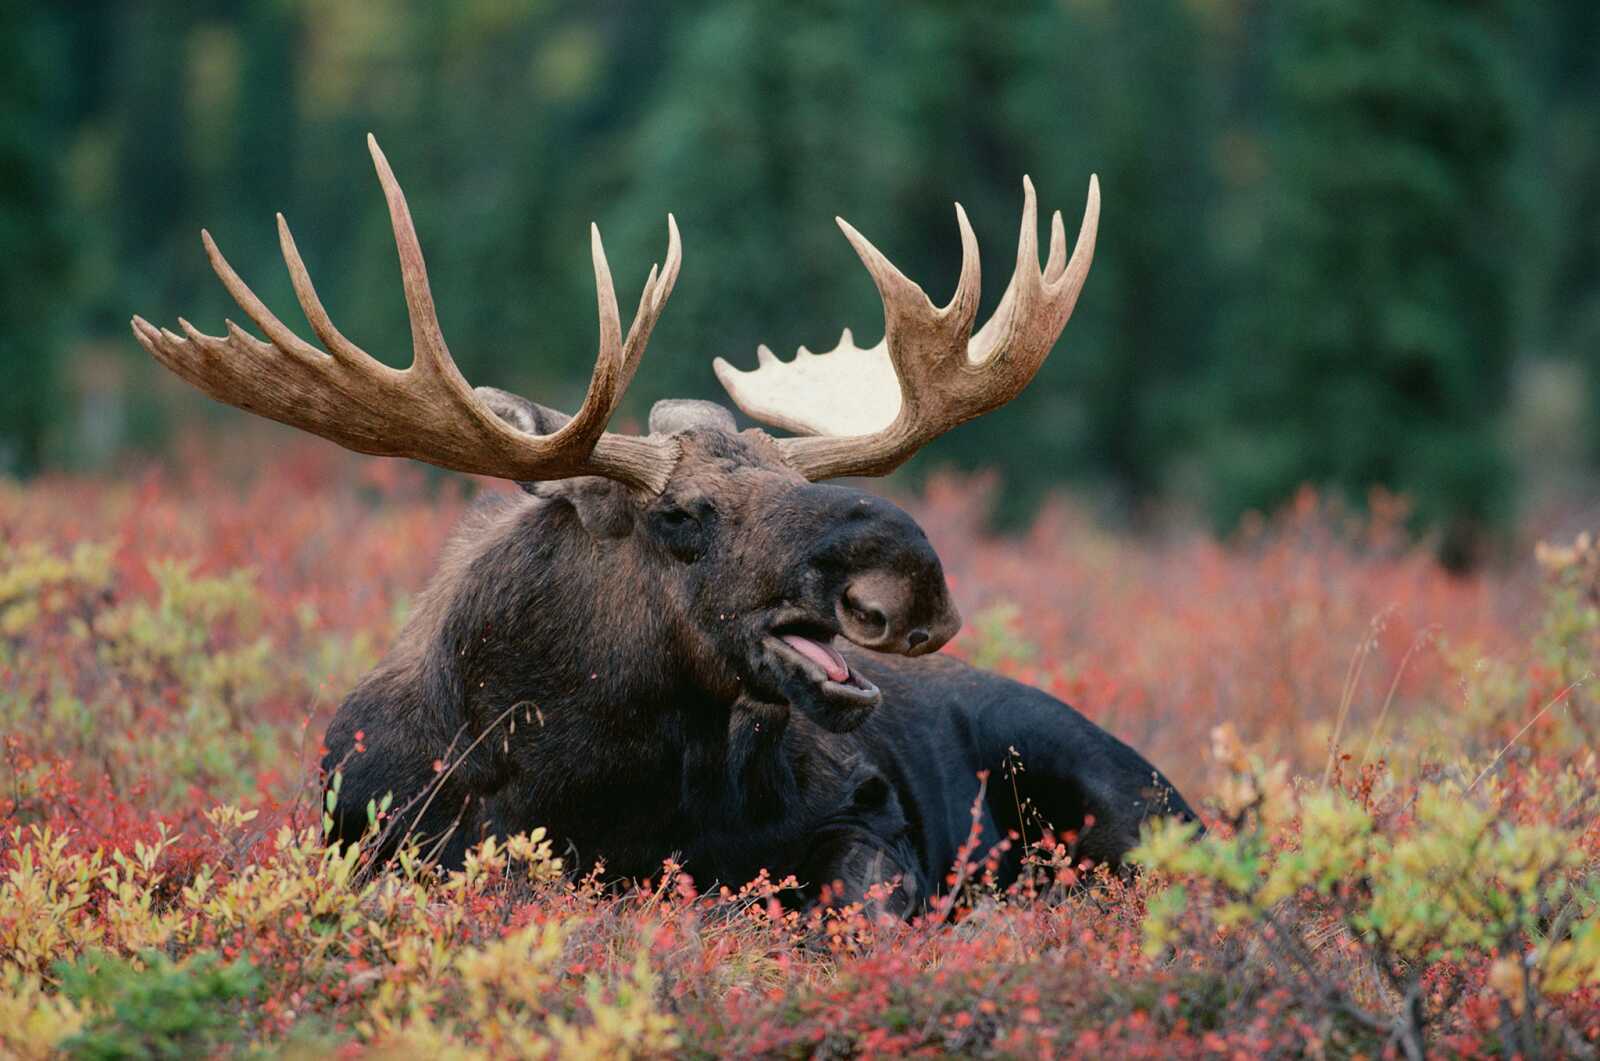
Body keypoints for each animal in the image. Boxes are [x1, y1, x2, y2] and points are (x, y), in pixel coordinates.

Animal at [132, 136, 1197, 915]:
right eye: (682, 515)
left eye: (788, 473)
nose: (910, 577)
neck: (579, 784)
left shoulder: (866, 810)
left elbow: (853, 895)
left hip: (1131, 798)